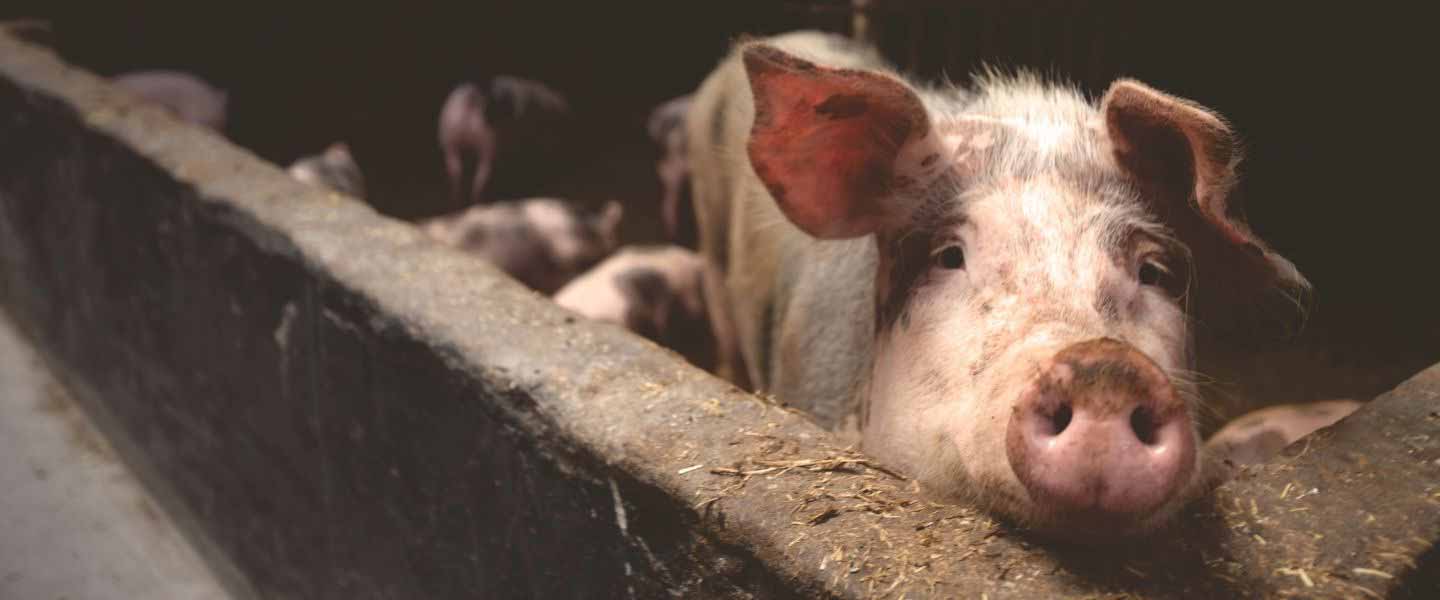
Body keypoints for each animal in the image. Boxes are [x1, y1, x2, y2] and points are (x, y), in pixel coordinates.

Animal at [438, 76, 571, 208]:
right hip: (486, 148)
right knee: (482, 174)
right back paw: (480, 202)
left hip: (453, 147)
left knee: (457, 172)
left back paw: (460, 202)